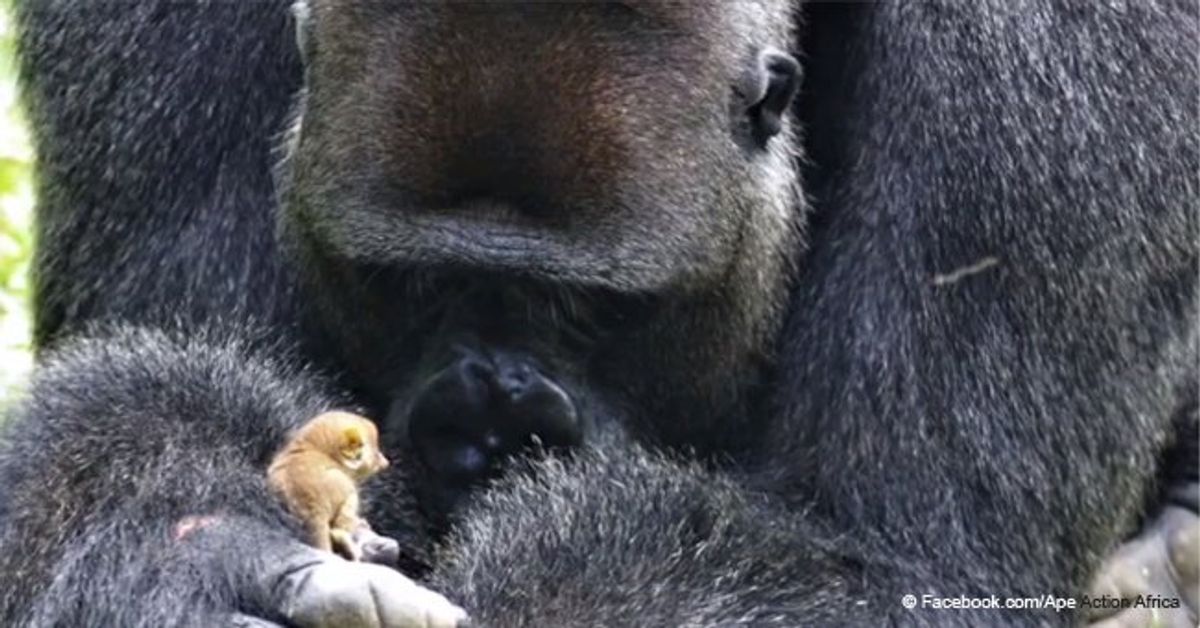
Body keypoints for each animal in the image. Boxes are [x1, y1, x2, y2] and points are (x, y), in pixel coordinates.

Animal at [267, 411, 389, 561]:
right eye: (376, 452)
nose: (386, 462)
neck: (315, 449)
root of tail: (310, 508)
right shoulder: (347, 489)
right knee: (338, 528)